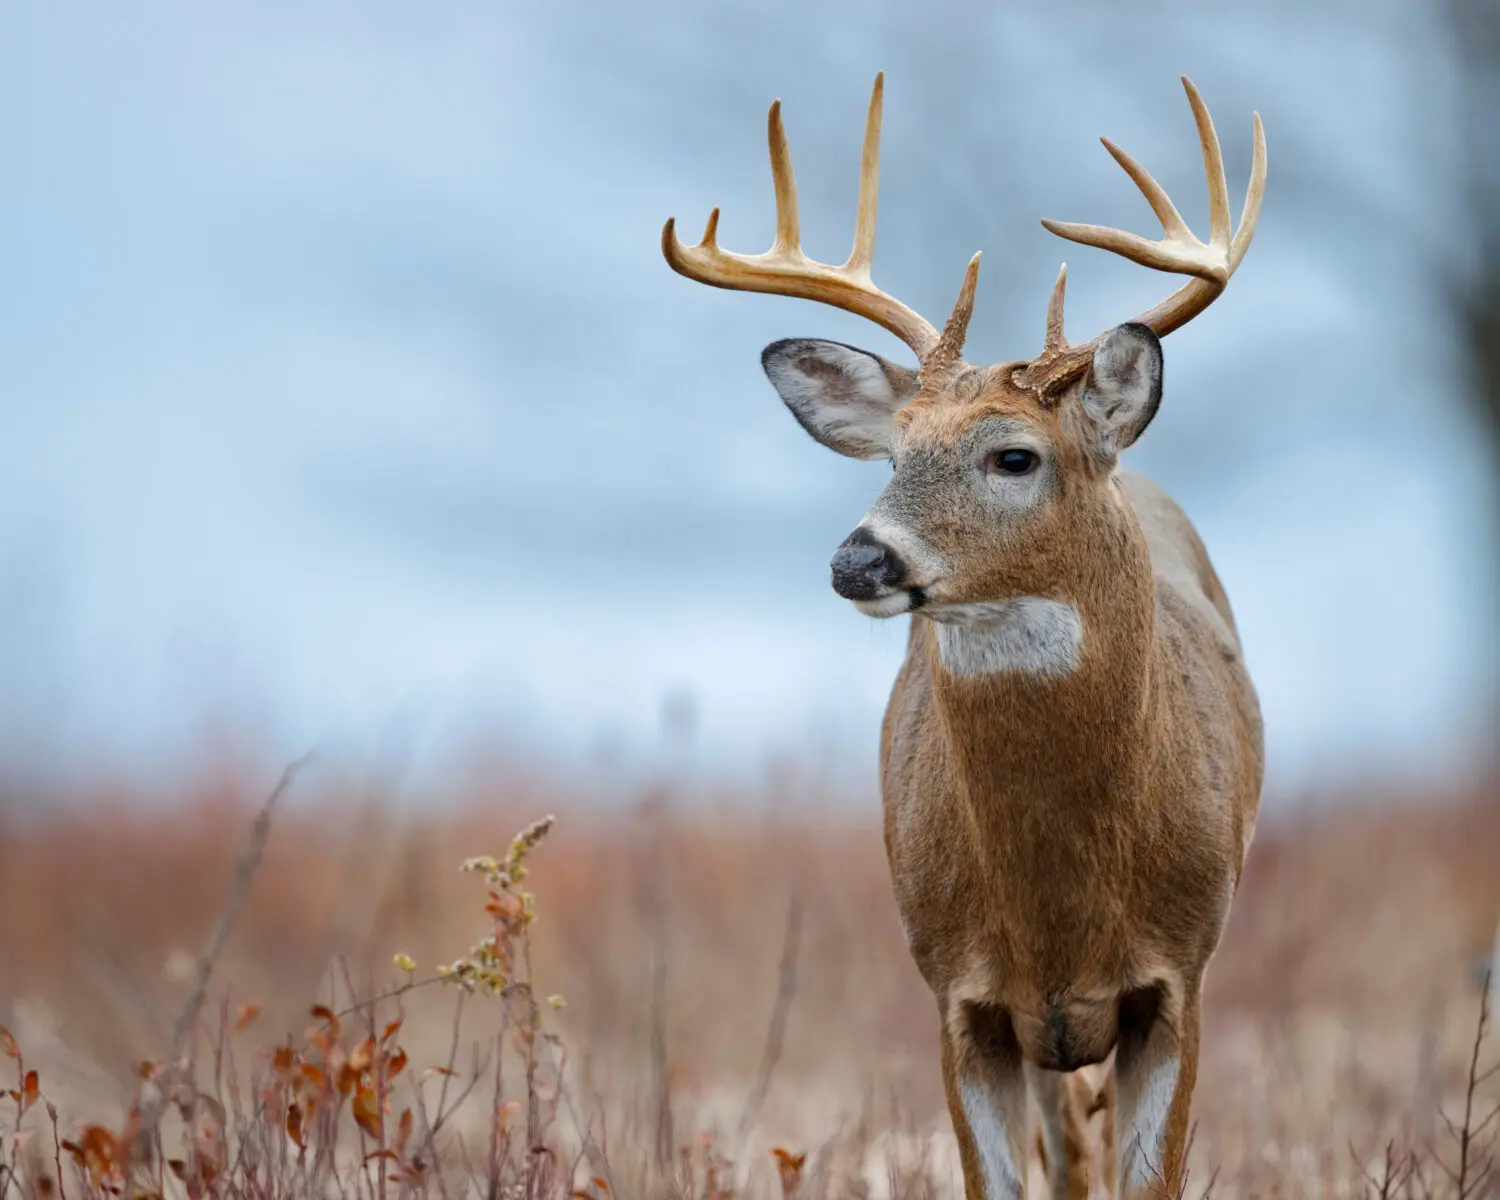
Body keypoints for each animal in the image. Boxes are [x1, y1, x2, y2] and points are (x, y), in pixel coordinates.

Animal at [661, 73, 1266, 1199]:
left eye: (1014, 456)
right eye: (893, 455)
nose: (858, 559)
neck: (1059, 905)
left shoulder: (1182, 975)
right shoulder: (957, 992)